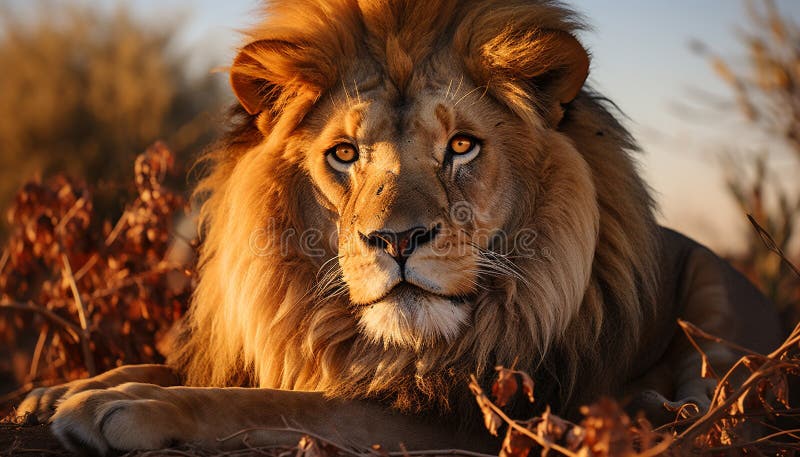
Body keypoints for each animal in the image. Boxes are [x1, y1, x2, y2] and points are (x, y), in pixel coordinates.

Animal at [19, 0, 781, 454]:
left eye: (462, 147)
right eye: (344, 154)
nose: (396, 241)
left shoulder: (465, 420)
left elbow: (280, 403)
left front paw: (127, 405)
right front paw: (64, 389)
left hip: (714, 288)